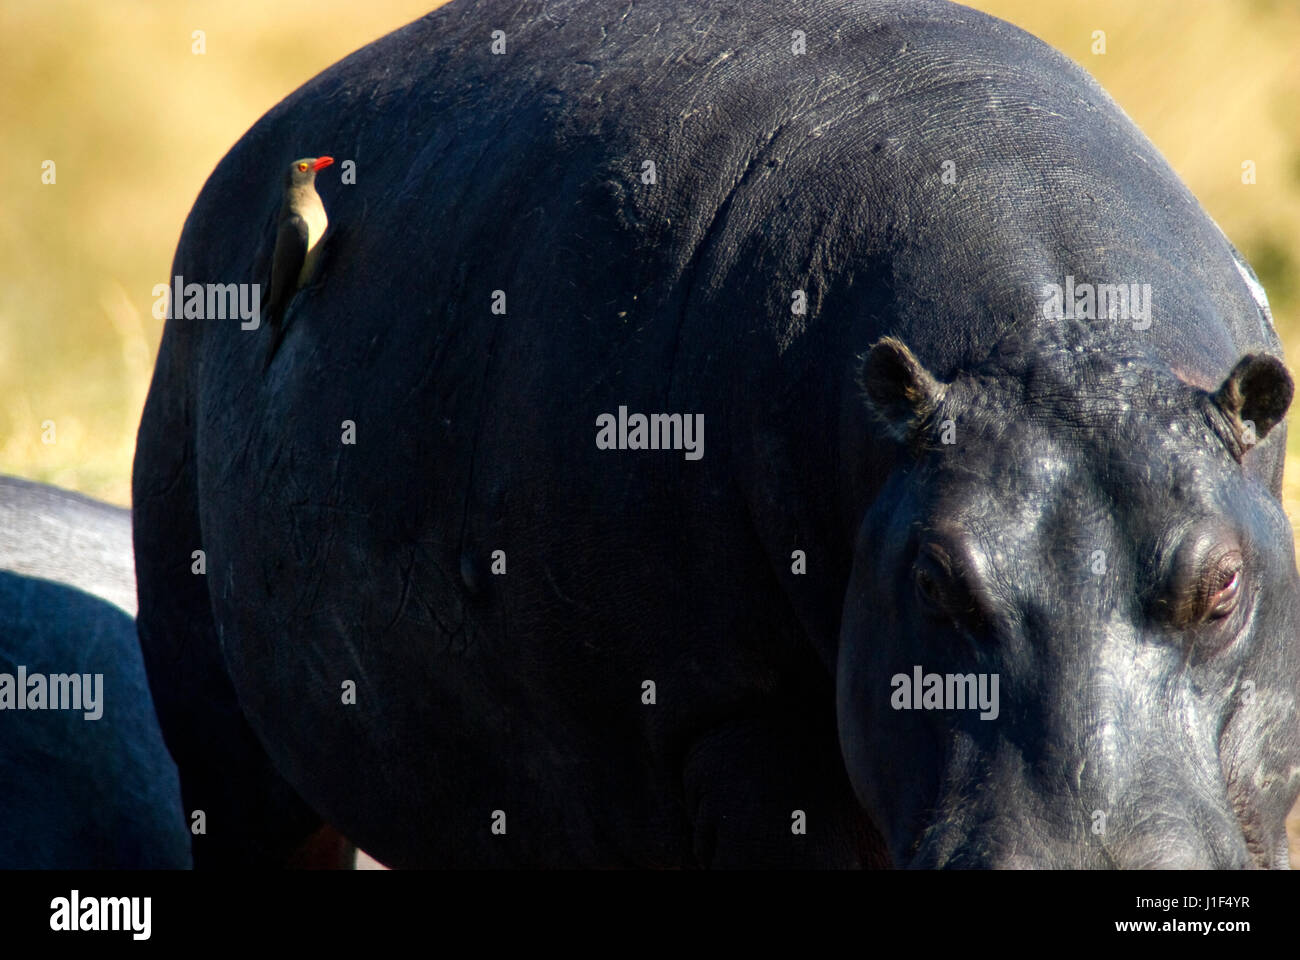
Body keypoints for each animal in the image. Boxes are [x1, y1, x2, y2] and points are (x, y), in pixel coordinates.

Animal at [133, 0, 1300, 867]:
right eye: (933, 579)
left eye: (1225, 588)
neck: (1066, 353)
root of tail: (250, 147)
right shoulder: (737, 730)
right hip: (221, 745)